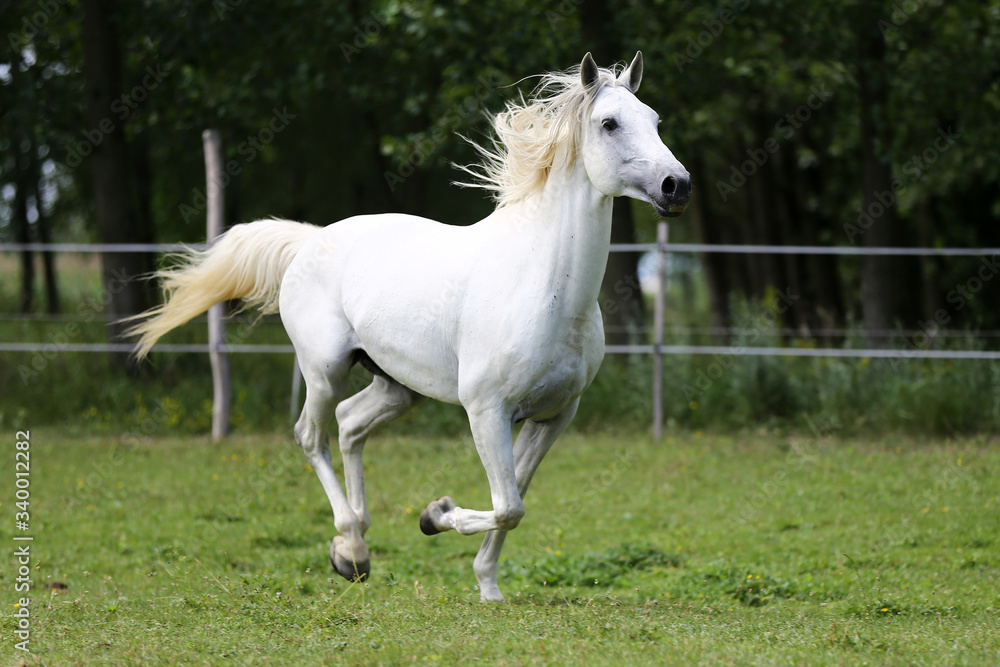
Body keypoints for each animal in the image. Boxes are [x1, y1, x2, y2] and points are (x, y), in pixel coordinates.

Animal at [128, 52, 690, 602]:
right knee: (312, 435)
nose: (677, 185)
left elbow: (517, 499)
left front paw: (487, 585)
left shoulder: (554, 415)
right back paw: (350, 547)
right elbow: (508, 505)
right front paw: (435, 514)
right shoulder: (487, 411)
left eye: (655, 119)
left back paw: (354, 546)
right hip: (325, 371)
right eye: (609, 123)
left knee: (351, 424)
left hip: (397, 385)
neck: (544, 285)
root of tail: (309, 241)